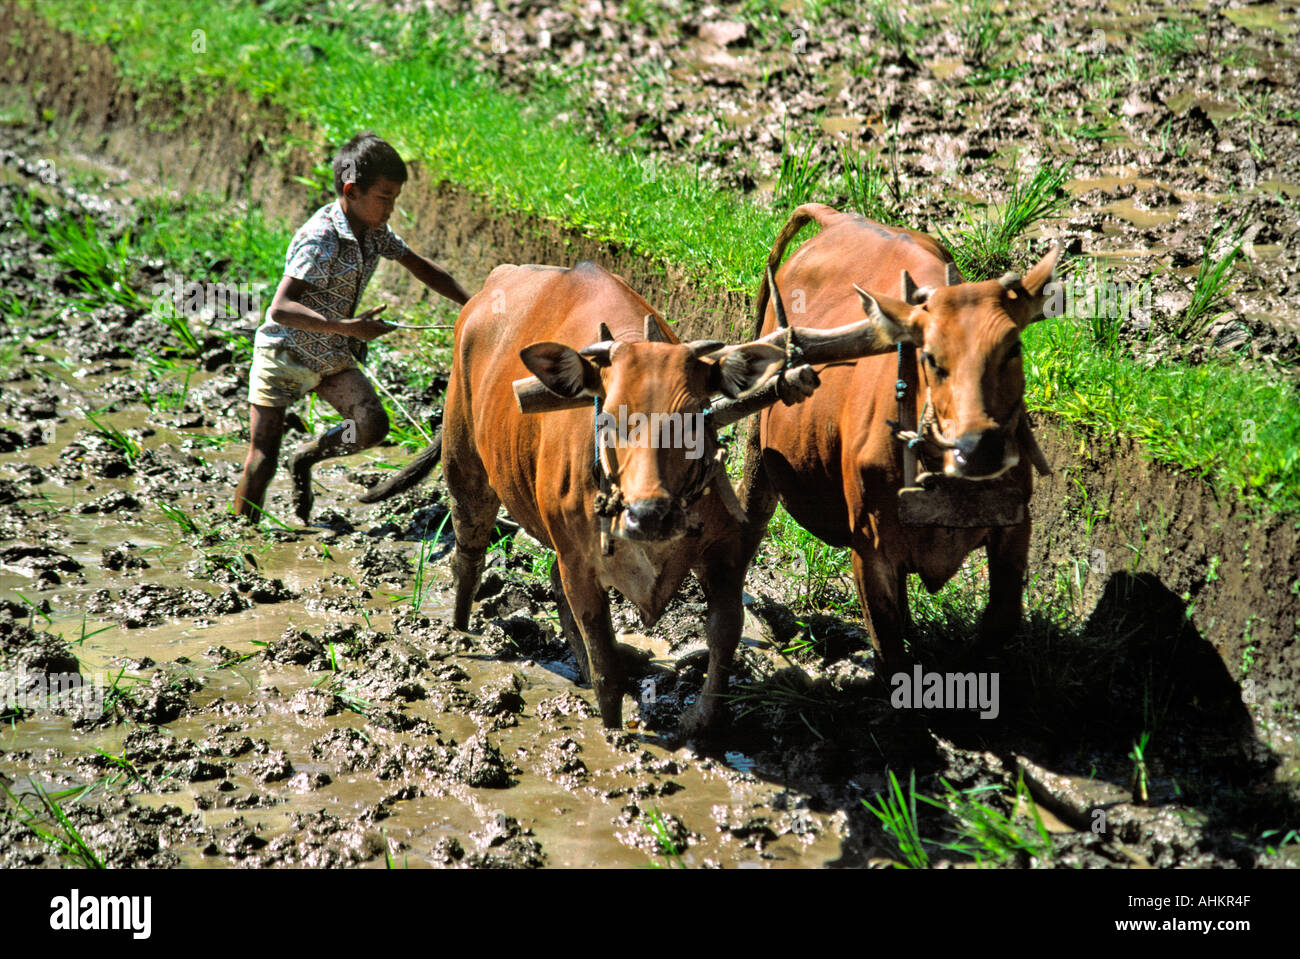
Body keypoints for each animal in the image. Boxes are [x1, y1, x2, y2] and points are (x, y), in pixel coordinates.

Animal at [365, 260, 891, 733]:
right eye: (610, 417)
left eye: (695, 417)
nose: (649, 515)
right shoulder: (581, 563)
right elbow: (605, 666)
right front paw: (616, 735)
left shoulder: (723, 552)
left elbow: (725, 635)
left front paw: (702, 721)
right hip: (464, 463)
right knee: (468, 554)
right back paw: (458, 629)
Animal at [736, 203, 1059, 671]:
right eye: (931, 358)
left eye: (1012, 348)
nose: (979, 448)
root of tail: (839, 218)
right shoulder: (868, 550)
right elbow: (889, 654)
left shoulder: (1015, 526)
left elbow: (1000, 623)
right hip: (759, 445)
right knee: (749, 515)